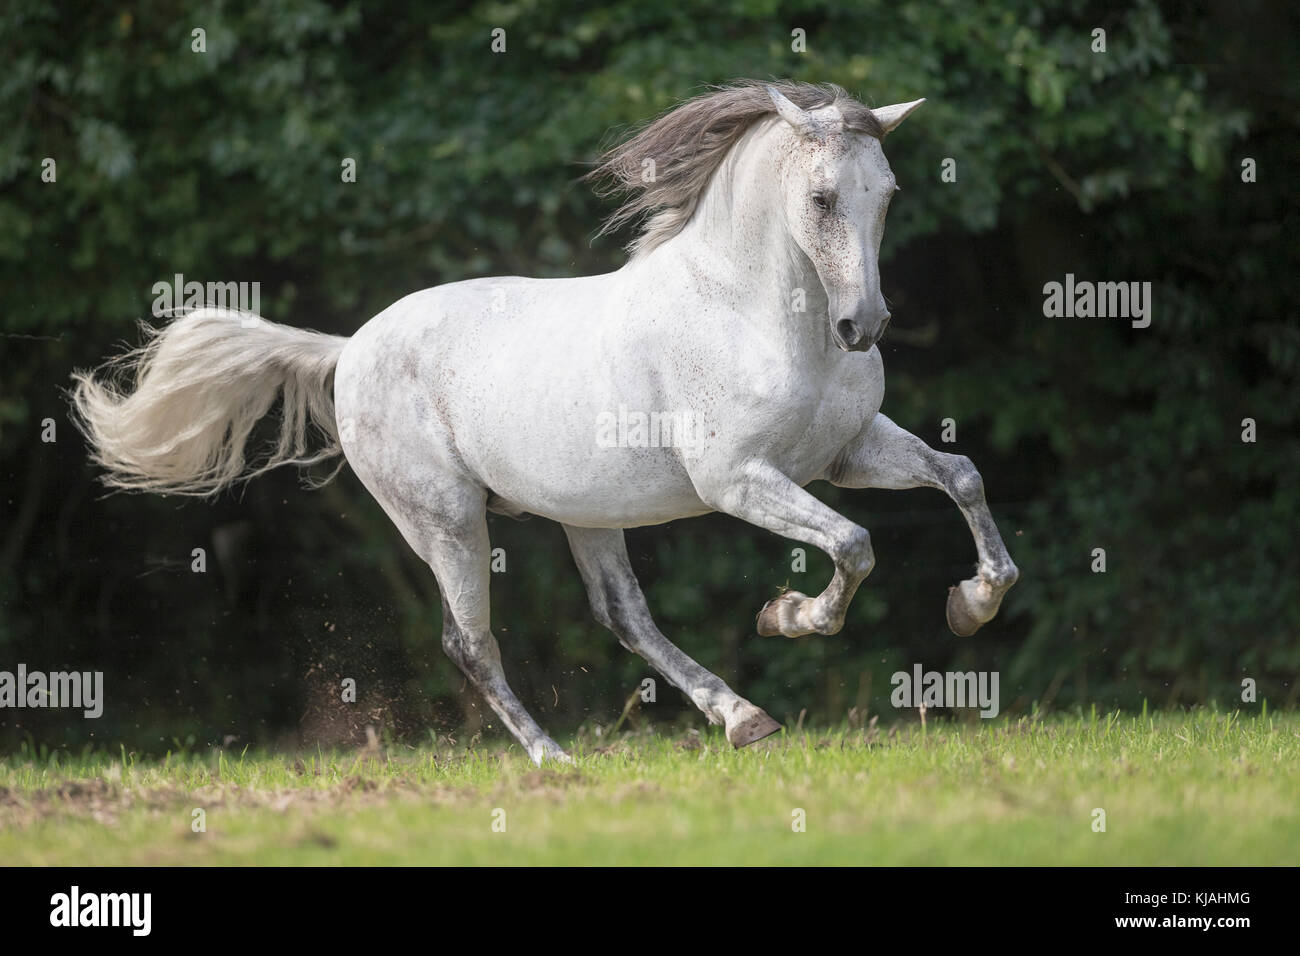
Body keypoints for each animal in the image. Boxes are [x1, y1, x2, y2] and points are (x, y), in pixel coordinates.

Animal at [71, 81, 1019, 764]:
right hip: (447, 520)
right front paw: (790, 617)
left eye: (887, 193)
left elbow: (962, 477)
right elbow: (855, 545)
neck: (755, 313)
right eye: (822, 198)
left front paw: (972, 605)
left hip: (586, 513)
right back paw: (554, 758)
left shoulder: (846, 453)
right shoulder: (741, 481)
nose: (865, 325)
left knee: (623, 617)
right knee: (469, 641)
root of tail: (349, 350)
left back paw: (741, 719)